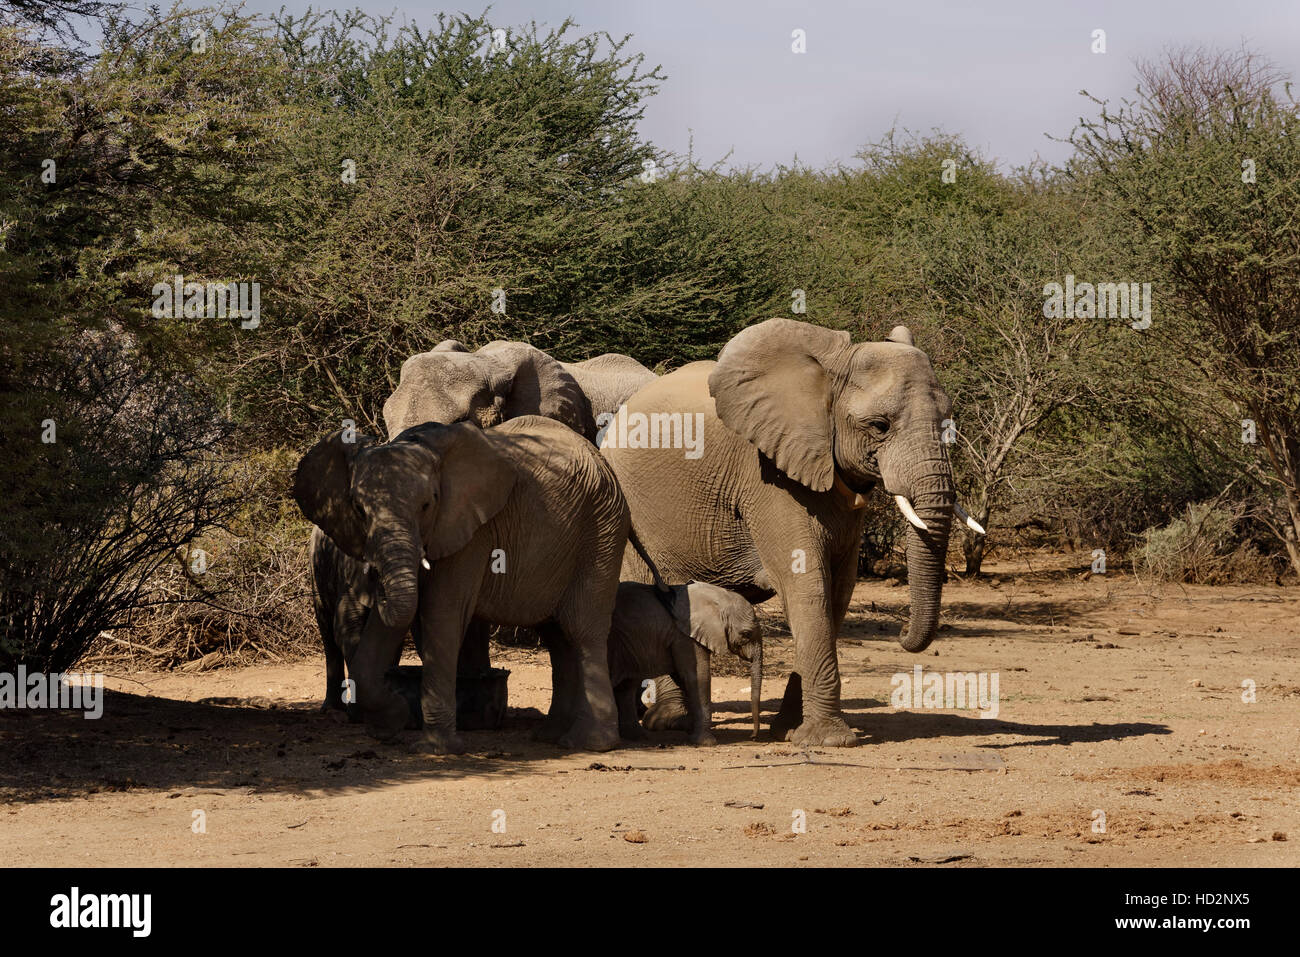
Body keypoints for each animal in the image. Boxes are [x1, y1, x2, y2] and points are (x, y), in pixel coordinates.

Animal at [292, 415, 633, 754]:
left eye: (427, 505)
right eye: (359, 510)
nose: (372, 577)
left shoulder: (469, 531)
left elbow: (442, 614)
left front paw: (434, 748)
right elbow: (384, 628)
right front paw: (391, 724)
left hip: (602, 528)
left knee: (580, 629)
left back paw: (590, 743)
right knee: (556, 636)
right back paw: (550, 737)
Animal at [608, 581, 762, 746]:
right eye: (746, 634)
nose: (753, 737)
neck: (716, 596)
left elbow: (681, 676)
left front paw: (690, 731)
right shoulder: (685, 637)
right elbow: (696, 676)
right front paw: (705, 742)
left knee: (626, 686)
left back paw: (638, 737)